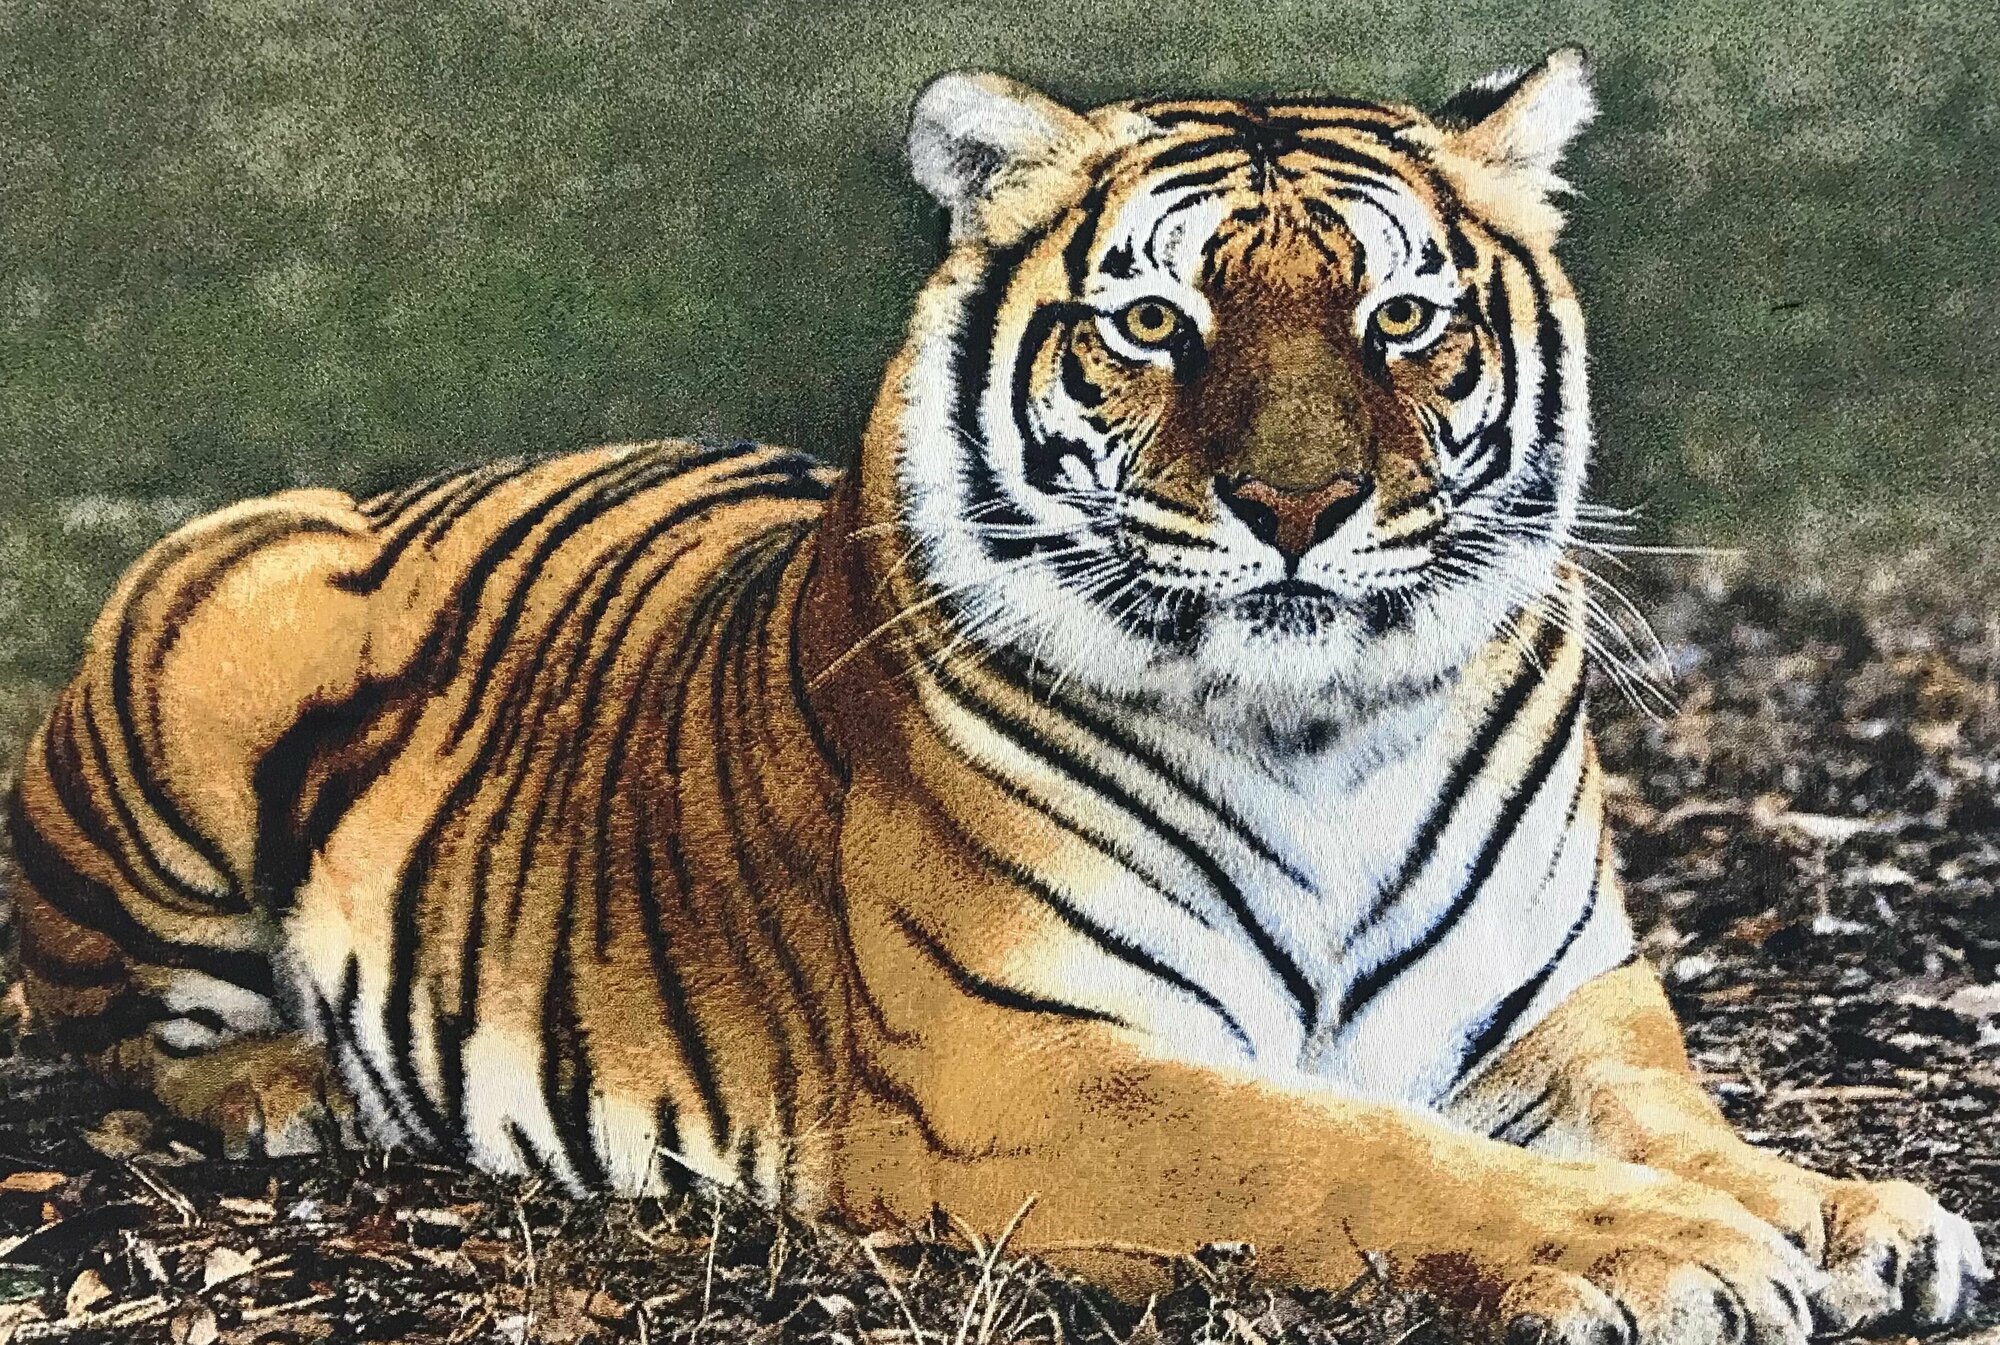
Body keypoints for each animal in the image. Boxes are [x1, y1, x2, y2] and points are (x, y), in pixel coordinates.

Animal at [6, 48, 1988, 1344]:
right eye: (1156, 324)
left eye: (1404, 320)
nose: (1297, 505)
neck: (1329, 731)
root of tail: (405, 480)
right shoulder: (1027, 1063)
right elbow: (1356, 1154)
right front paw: (1652, 1254)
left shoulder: (1557, 1007)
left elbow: (1695, 1126)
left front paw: (1856, 1221)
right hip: (222, 619)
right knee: (109, 1035)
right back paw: (286, 1084)